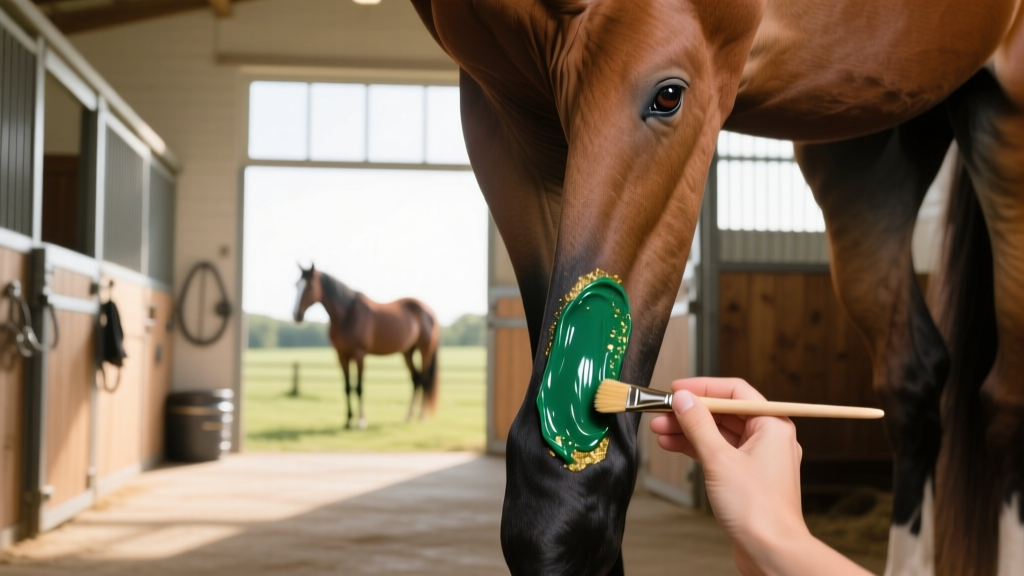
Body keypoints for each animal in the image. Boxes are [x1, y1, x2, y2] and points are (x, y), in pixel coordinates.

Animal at [292, 264, 440, 429]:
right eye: (296, 285)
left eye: (310, 286)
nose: (296, 315)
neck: (348, 315)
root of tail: (430, 312)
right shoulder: (342, 355)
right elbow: (347, 387)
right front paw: (348, 421)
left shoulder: (359, 354)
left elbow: (359, 387)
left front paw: (361, 421)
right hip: (408, 351)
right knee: (416, 379)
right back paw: (408, 416)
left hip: (425, 350)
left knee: (425, 380)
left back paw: (422, 416)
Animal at [412, 1, 1024, 574]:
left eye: (667, 97)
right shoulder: (501, 104)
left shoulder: (669, 67)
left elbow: (571, 483)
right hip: (869, 144)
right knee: (912, 380)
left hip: (1004, 115)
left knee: (1004, 401)